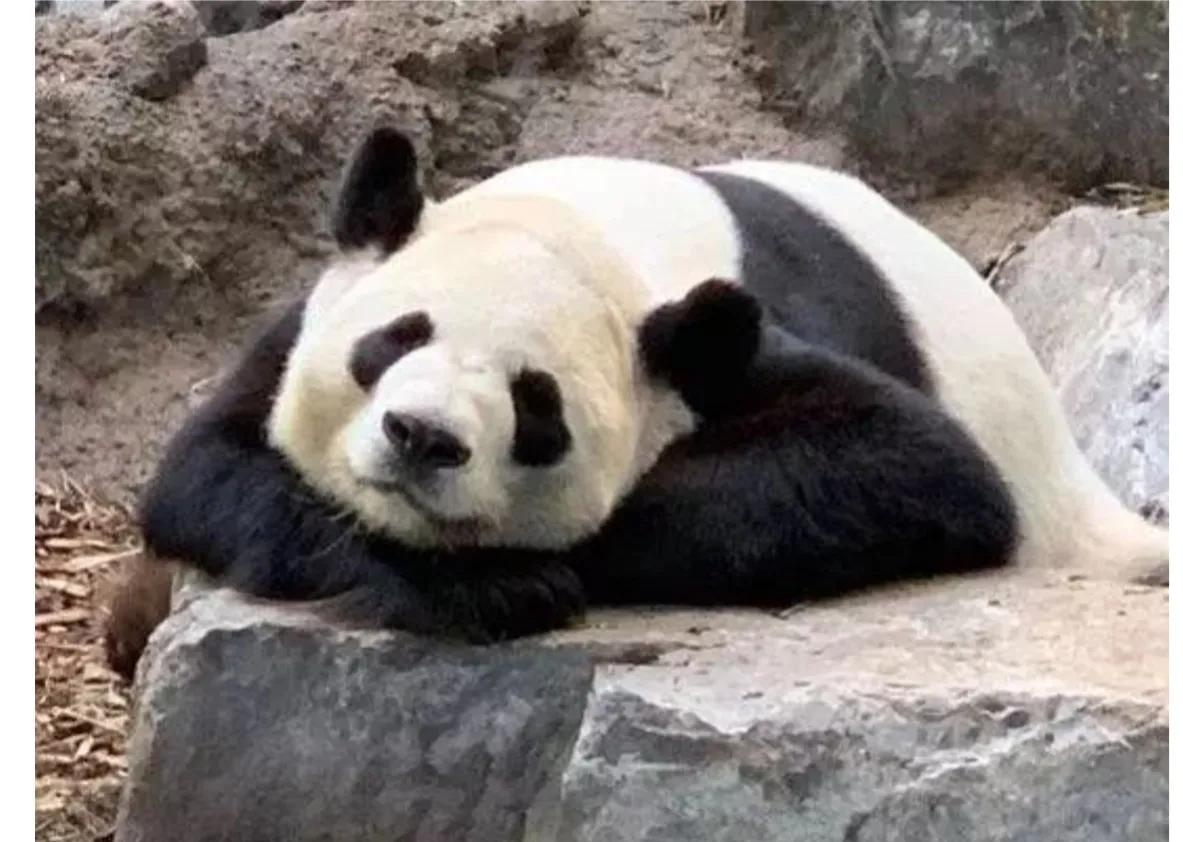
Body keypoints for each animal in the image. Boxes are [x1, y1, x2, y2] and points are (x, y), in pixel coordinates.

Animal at [106, 127, 1167, 677]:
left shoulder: (724, 339)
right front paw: (459, 579)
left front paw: (506, 572)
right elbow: (207, 469)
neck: (588, 227)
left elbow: (917, 464)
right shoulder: (306, 319)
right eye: (395, 338)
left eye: (536, 406)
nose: (421, 437)